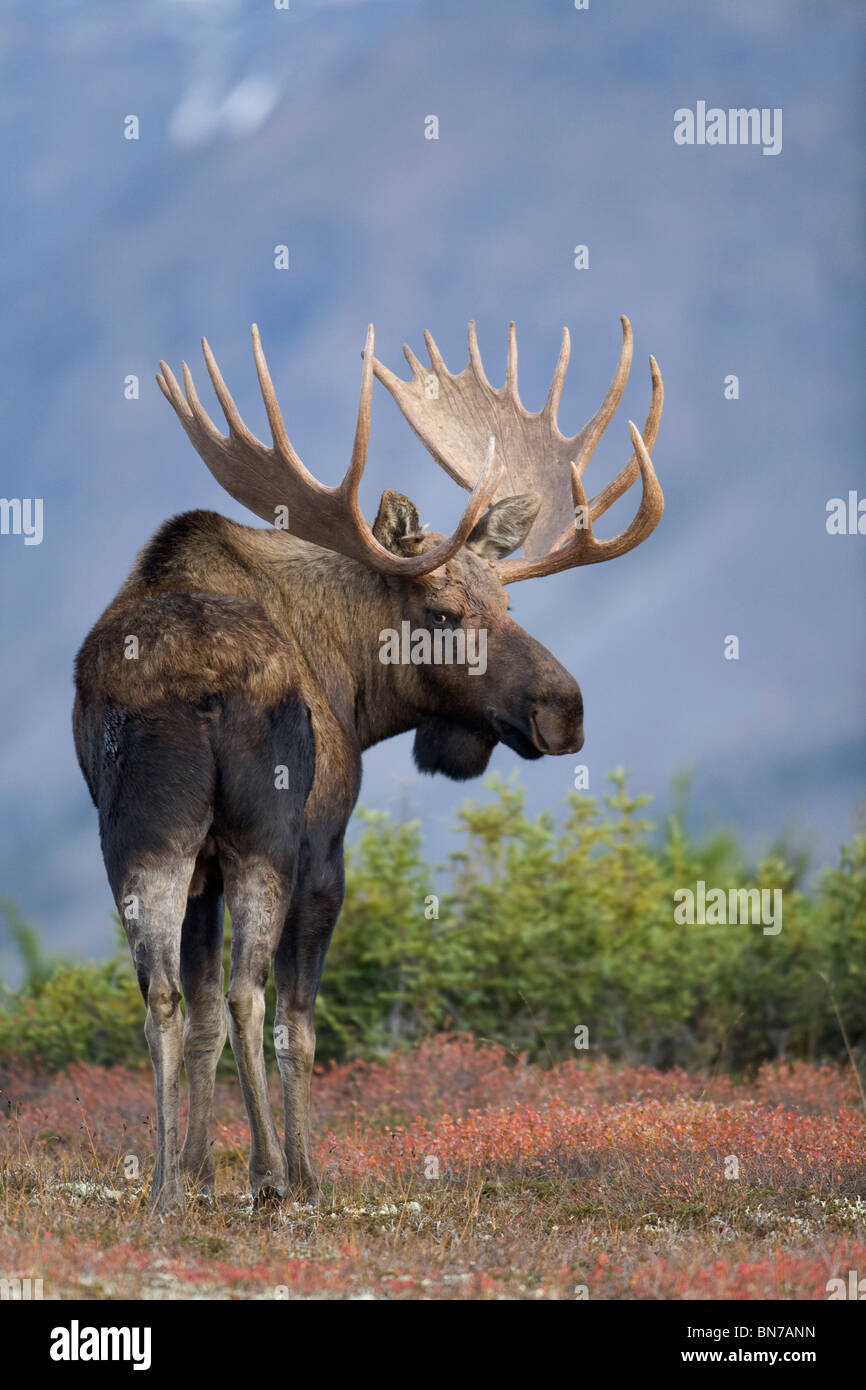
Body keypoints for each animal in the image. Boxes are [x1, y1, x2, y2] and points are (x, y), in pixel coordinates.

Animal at [73, 315, 663, 1214]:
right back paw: (278, 1179)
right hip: (266, 836)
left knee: (164, 996)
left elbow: (201, 1013)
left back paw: (166, 1190)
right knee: (253, 994)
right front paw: (291, 1173)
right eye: (445, 611)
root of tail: (196, 686)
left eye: (509, 601)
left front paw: (199, 1172)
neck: (356, 688)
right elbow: (299, 1023)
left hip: (144, 838)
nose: (565, 709)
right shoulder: (325, 844)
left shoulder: (202, 866)